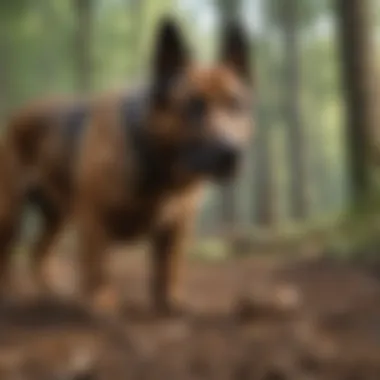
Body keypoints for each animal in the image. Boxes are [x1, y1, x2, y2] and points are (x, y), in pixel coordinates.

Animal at [0, 17, 255, 314]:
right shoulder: (93, 220)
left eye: (236, 104)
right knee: (7, 252)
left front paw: (171, 301)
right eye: (192, 106)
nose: (230, 153)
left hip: (57, 216)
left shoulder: (176, 229)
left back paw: (51, 294)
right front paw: (99, 300)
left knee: (38, 252)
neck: (157, 161)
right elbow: (97, 265)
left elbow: (169, 269)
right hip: (10, 212)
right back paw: (11, 294)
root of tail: (20, 114)